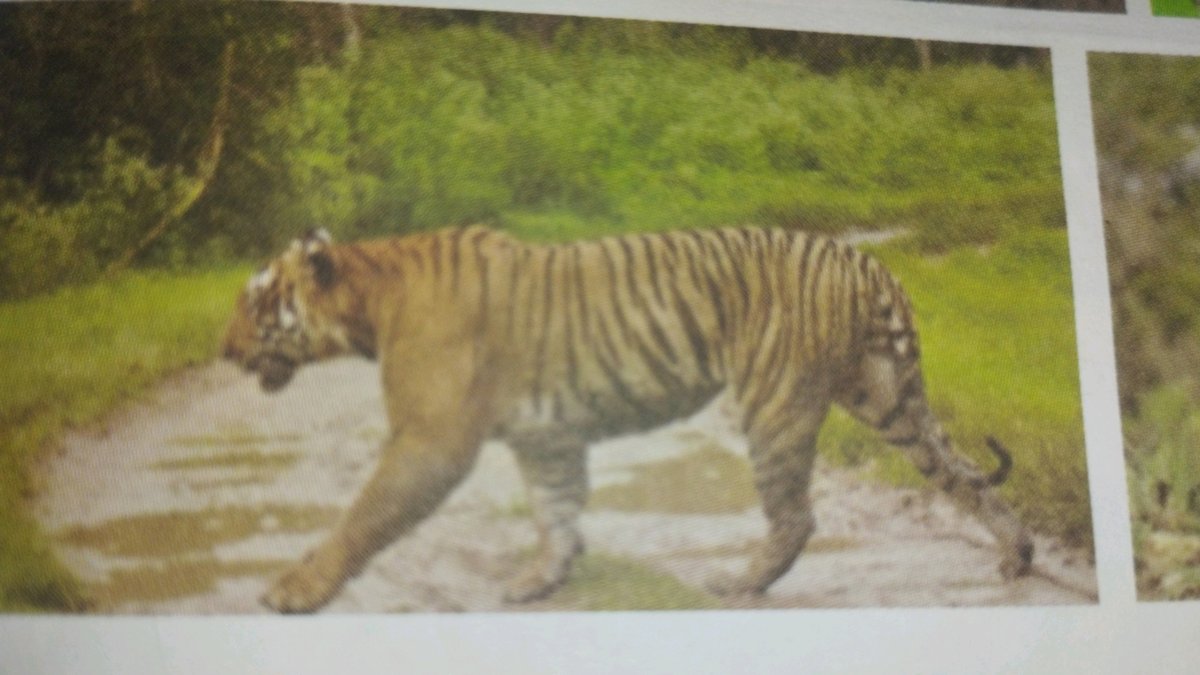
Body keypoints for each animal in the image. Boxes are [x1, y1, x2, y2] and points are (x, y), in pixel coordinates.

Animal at [222, 225, 1034, 613]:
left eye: (257, 300)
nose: (223, 348)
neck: (368, 302)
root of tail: (863, 261)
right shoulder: (546, 435)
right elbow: (555, 509)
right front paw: (543, 579)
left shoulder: (432, 439)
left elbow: (361, 516)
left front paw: (294, 590)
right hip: (886, 397)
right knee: (965, 476)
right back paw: (1018, 555)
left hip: (776, 400)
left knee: (796, 514)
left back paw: (739, 582)